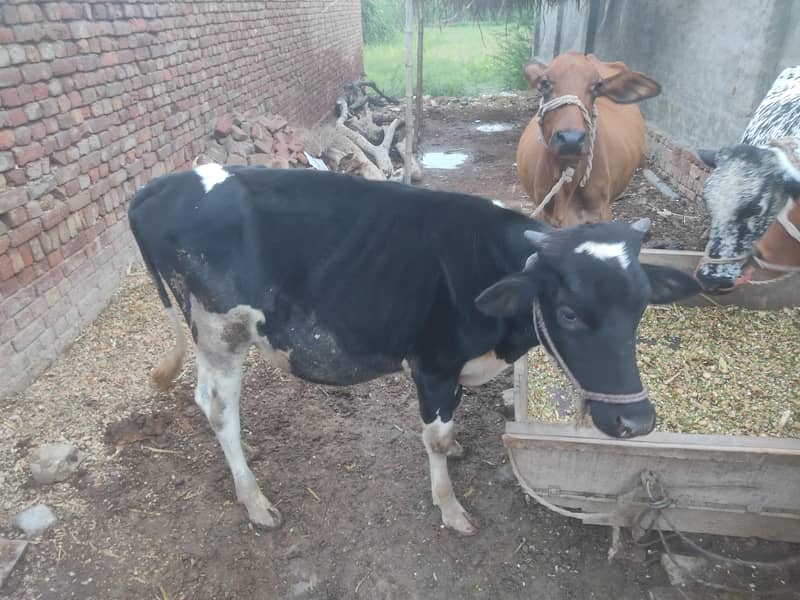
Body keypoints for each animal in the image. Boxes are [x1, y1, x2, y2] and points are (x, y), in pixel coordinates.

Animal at [128, 165, 700, 535]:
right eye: (568, 314)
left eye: (641, 307)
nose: (636, 423)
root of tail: (161, 186)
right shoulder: (434, 365)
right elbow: (436, 438)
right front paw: (449, 507)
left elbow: (450, 429)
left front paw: (460, 449)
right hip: (223, 330)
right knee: (220, 409)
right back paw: (255, 500)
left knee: (204, 399)